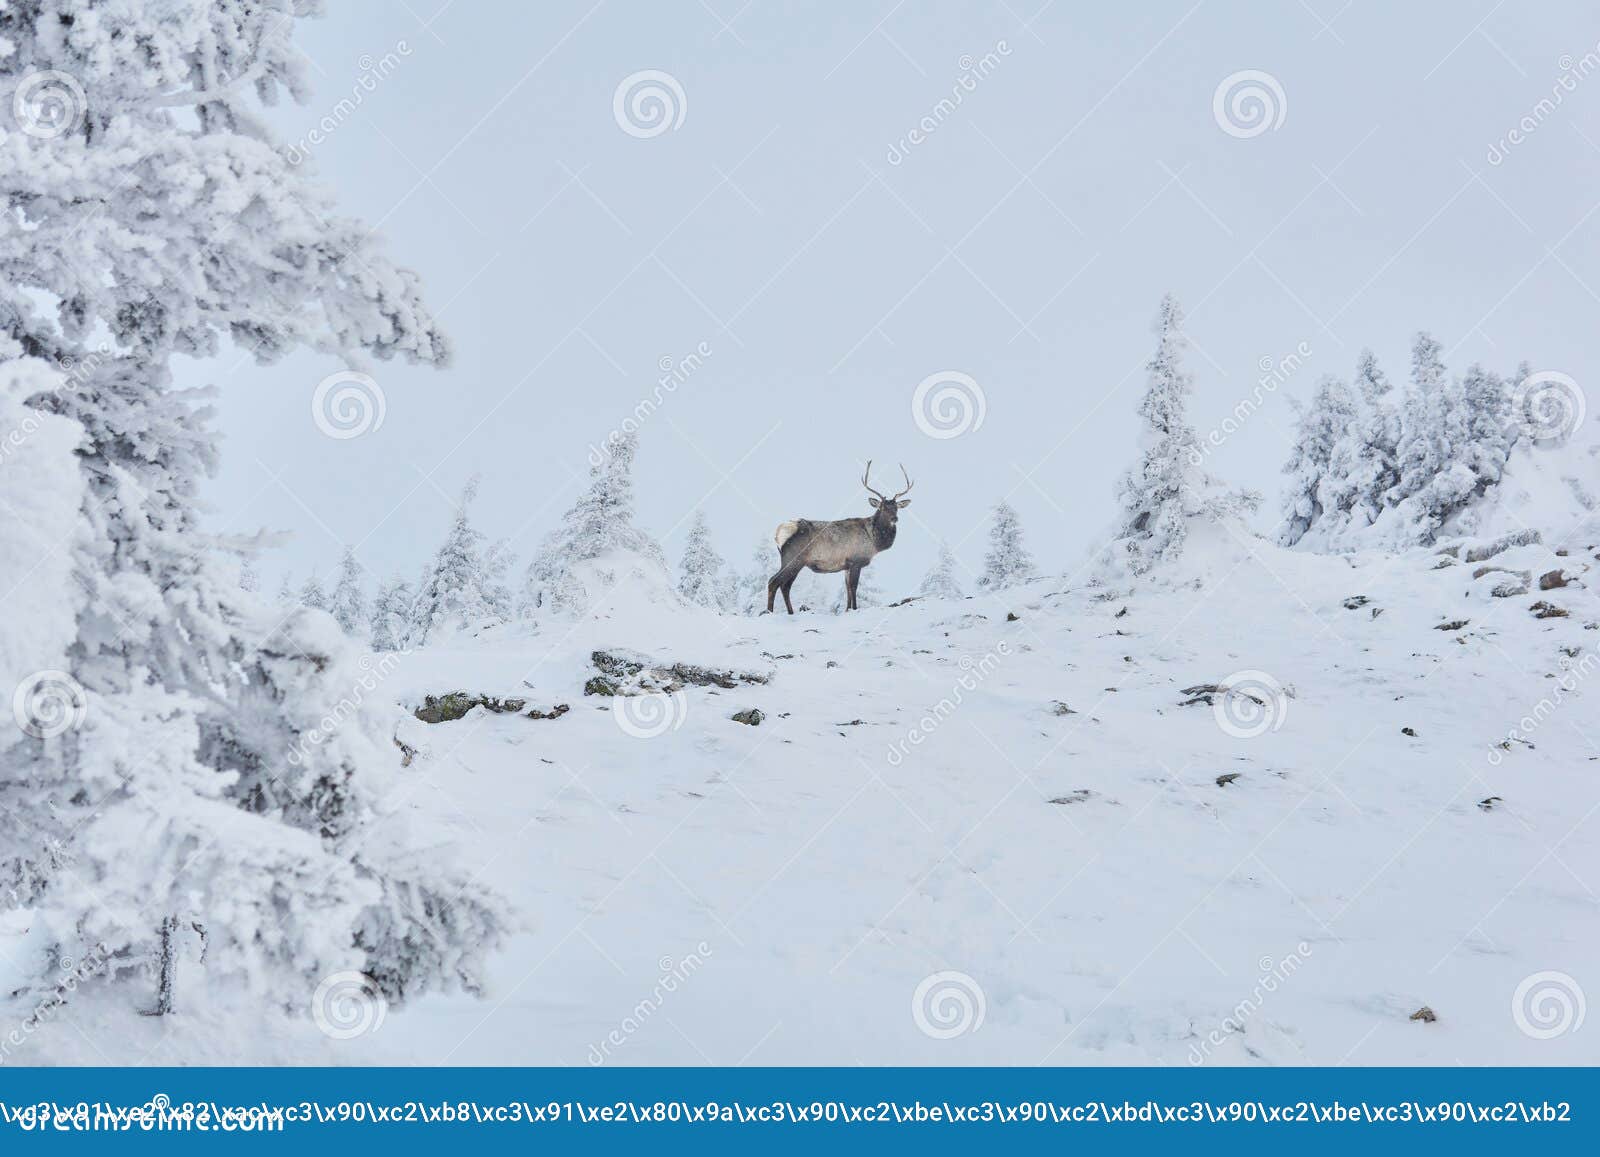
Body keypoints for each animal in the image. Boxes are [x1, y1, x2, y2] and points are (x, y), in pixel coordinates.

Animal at [766, 462, 913, 614]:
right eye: (882, 508)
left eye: (896, 508)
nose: (894, 518)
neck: (874, 542)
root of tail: (778, 533)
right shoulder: (856, 560)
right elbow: (853, 587)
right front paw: (854, 608)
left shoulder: (846, 565)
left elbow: (847, 588)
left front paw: (847, 609)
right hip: (793, 558)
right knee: (773, 581)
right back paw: (769, 611)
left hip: (796, 562)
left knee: (785, 586)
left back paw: (790, 612)